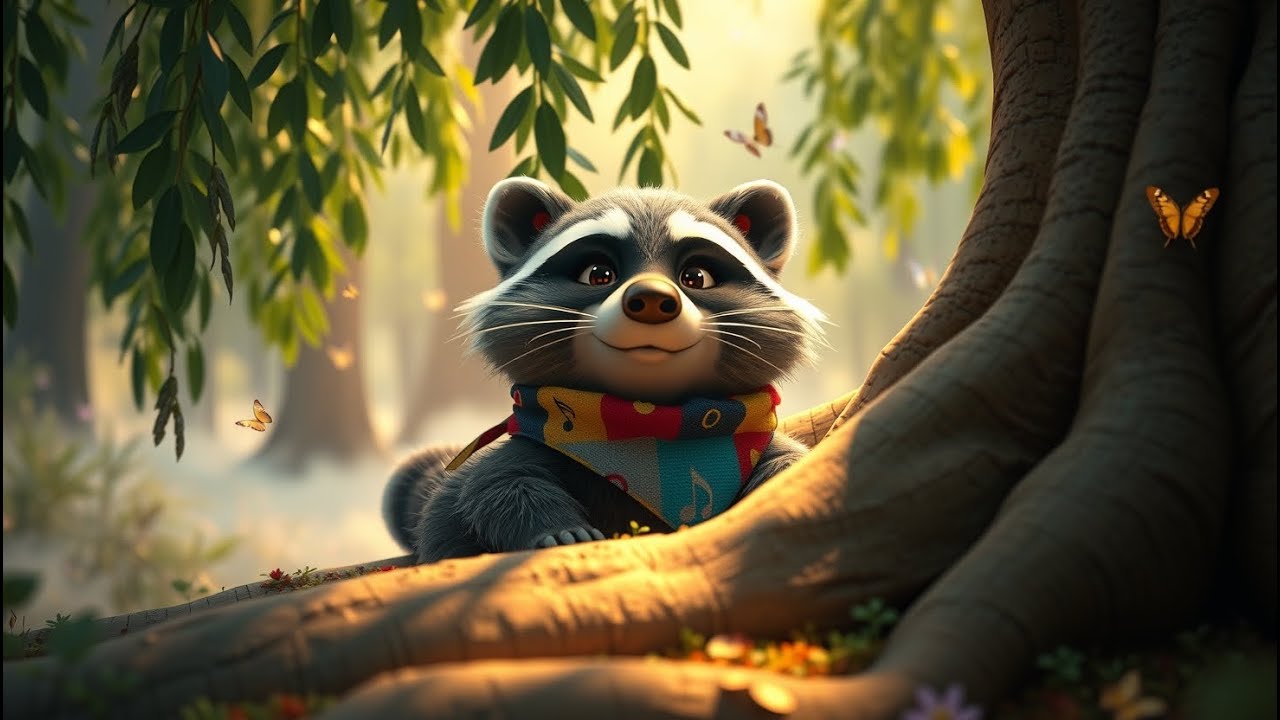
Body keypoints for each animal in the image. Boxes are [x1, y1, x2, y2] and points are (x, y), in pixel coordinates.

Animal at [383, 178, 827, 564]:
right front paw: (559, 530)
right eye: (598, 274)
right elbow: (501, 484)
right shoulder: (534, 447)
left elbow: (788, 462)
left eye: (696, 277)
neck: (650, 420)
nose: (652, 300)